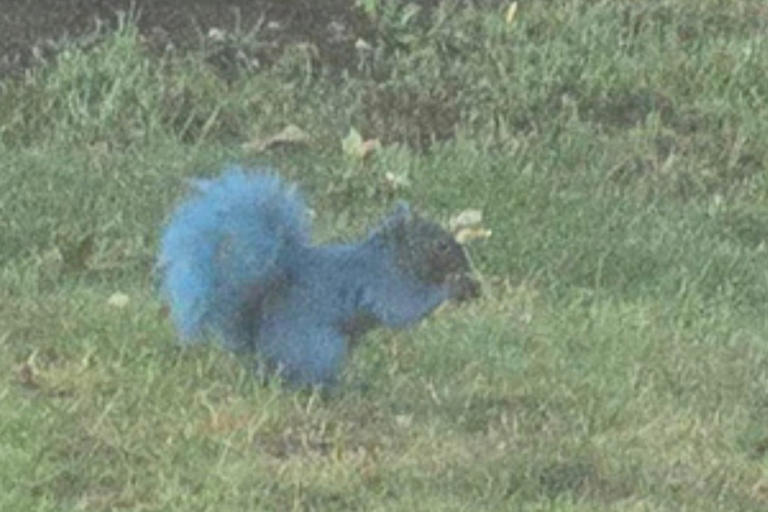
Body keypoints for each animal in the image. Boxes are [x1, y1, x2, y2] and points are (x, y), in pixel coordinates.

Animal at [157, 168, 479, 388]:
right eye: (441, 245)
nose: (466, 263)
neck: (389, 258)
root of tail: (260, 352)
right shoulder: (381, 283)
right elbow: (403, 308)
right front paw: (454, 285)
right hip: (323, 347)